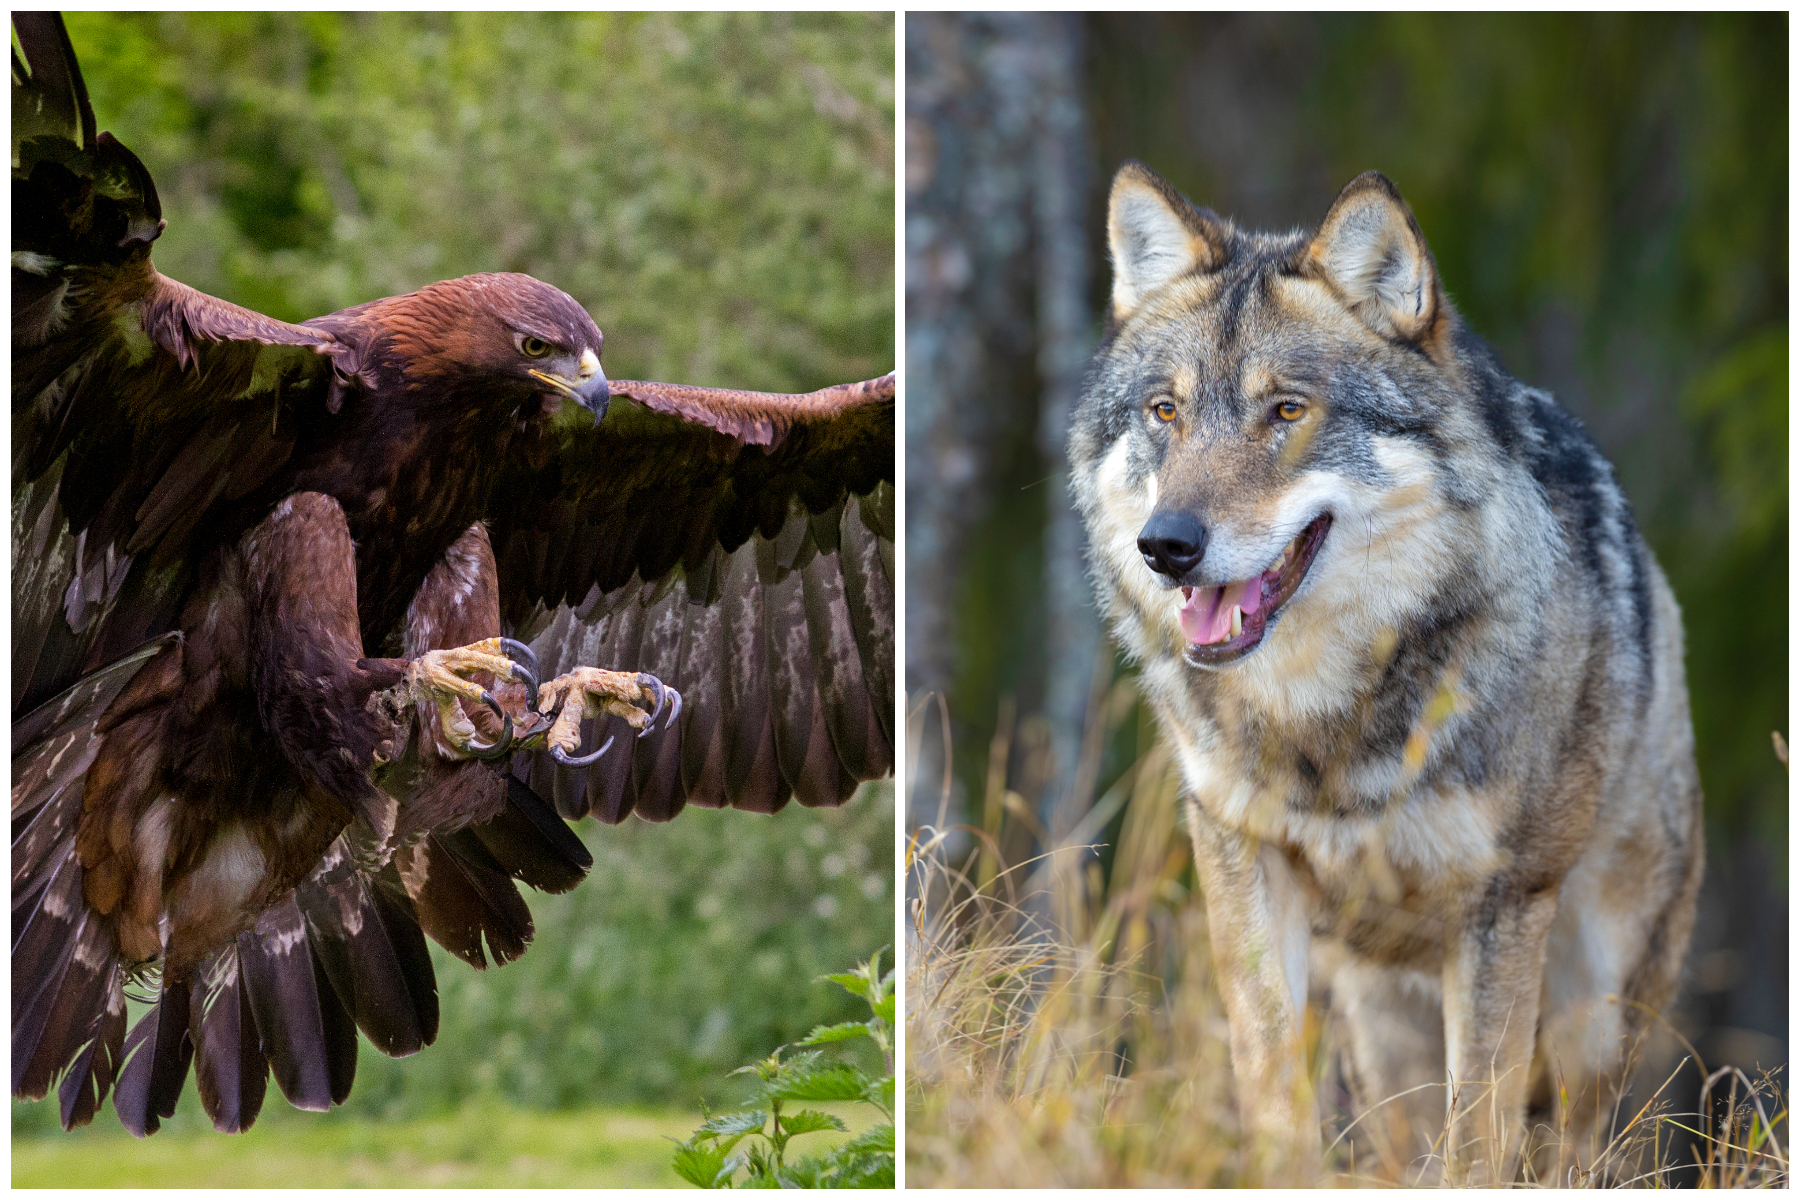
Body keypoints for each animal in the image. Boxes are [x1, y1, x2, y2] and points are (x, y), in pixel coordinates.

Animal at [1068, 162, 1704, 1185]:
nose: (1165, 546)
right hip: (1384, 1030)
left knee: (1572, 1142)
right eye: (1166, 412)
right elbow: (1270, 1078)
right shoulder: (1243, 864)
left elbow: (1479, 1136)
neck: (1326, 724)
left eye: (1287, 410)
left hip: (1594, 1015)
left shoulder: (1502, 907)